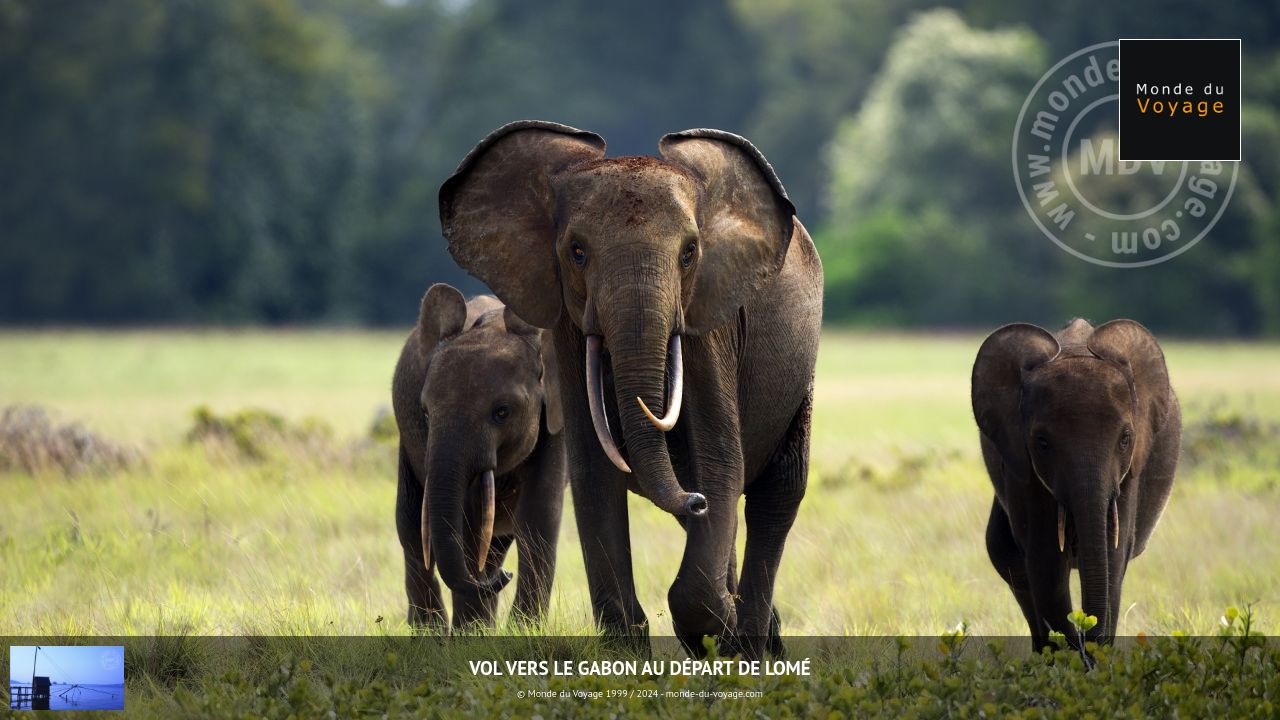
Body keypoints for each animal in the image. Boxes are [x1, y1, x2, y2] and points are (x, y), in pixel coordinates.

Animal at [391, 281, 568, 627]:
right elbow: (467, 520)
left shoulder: (559, 419)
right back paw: (431, 629)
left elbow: (538, 513)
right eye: (426, 413)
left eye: (502, 412)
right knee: (410, 521)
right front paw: (472, 632)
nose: (504, 577)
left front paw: (524, 629)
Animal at [437, 119, 819, 655]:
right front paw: (631, 651)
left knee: (777, 493)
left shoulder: (709, 320)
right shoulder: (566, 324)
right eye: (577, 252)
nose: (695, 500)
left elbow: (719, 458)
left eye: (689, 253)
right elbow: (594, 469)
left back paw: (750, 646)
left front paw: (715, 630)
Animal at [977, 316, 1177, 648]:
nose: (1087, 636)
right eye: (1042, 443)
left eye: (1125, 439)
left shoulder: (1130, 473)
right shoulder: (1023, 468)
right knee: (1008, 560)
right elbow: (1046, 560)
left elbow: (1112, 556)